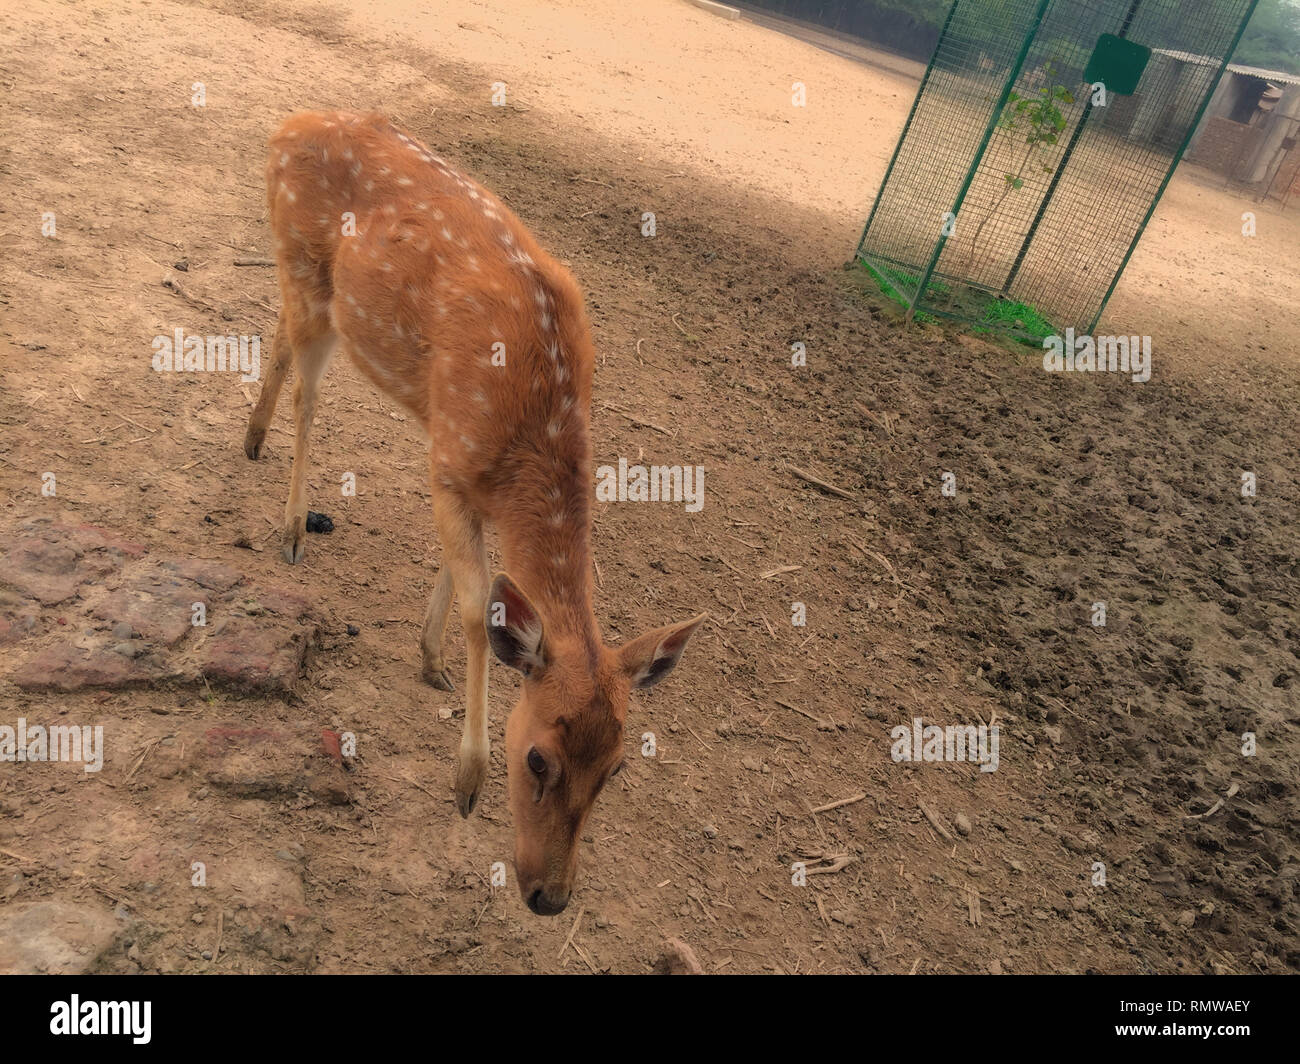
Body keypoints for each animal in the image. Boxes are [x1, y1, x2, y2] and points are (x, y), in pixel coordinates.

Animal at [243, 111, 706, 916]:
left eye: (618, 767)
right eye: (538, 759)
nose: (550, 896)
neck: (529, 436)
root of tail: (289, 122)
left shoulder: (457, 468)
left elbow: (473, 584)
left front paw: (426, 660)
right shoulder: (452, 462)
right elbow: (475, 611)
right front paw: (464, 780)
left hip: (310, 289)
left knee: (278, 336)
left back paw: (251, 438)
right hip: (305, 266)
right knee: (309, 392)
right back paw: (293, 525)